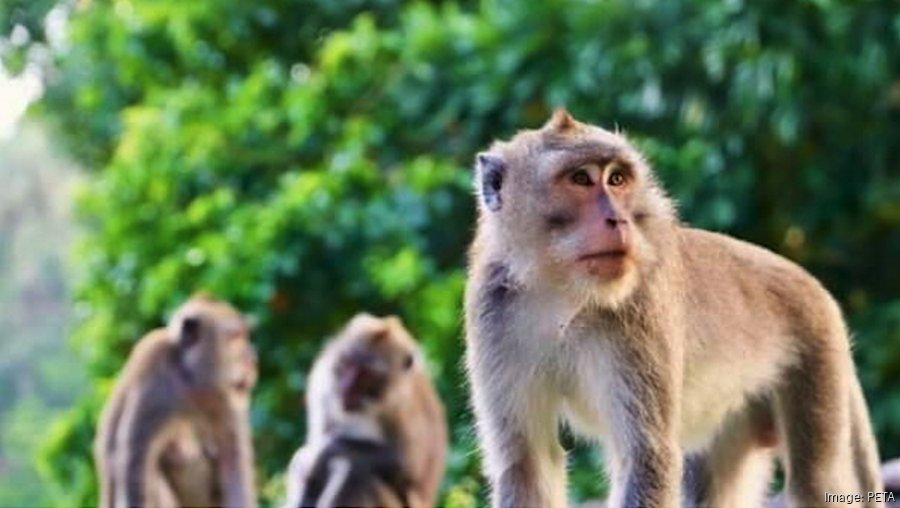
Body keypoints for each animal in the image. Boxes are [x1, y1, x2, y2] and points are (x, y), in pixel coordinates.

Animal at [94, 294, 258, 508]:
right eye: (235, 337)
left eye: (244, 336)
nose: (253, 360)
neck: (190, 380)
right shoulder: (154, 373)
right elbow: (135, 459)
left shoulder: (227, 400)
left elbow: (233, 458)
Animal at [283, 313, 447, 508]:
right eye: (347, 364)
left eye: (366, 376)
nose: (347, 389)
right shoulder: (323, 386)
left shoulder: (402, 404)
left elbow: (405, 463)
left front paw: (326, 451)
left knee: (357, 472)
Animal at [464, 109, 883, 508]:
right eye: (581, 179)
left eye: (617, 179)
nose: (618, 219)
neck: (563, 293)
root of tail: (812, 285)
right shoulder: (491, 313)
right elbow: (527, 463)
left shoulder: (640, 308)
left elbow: (646, 456)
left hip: (816, 354)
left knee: (815, 481)